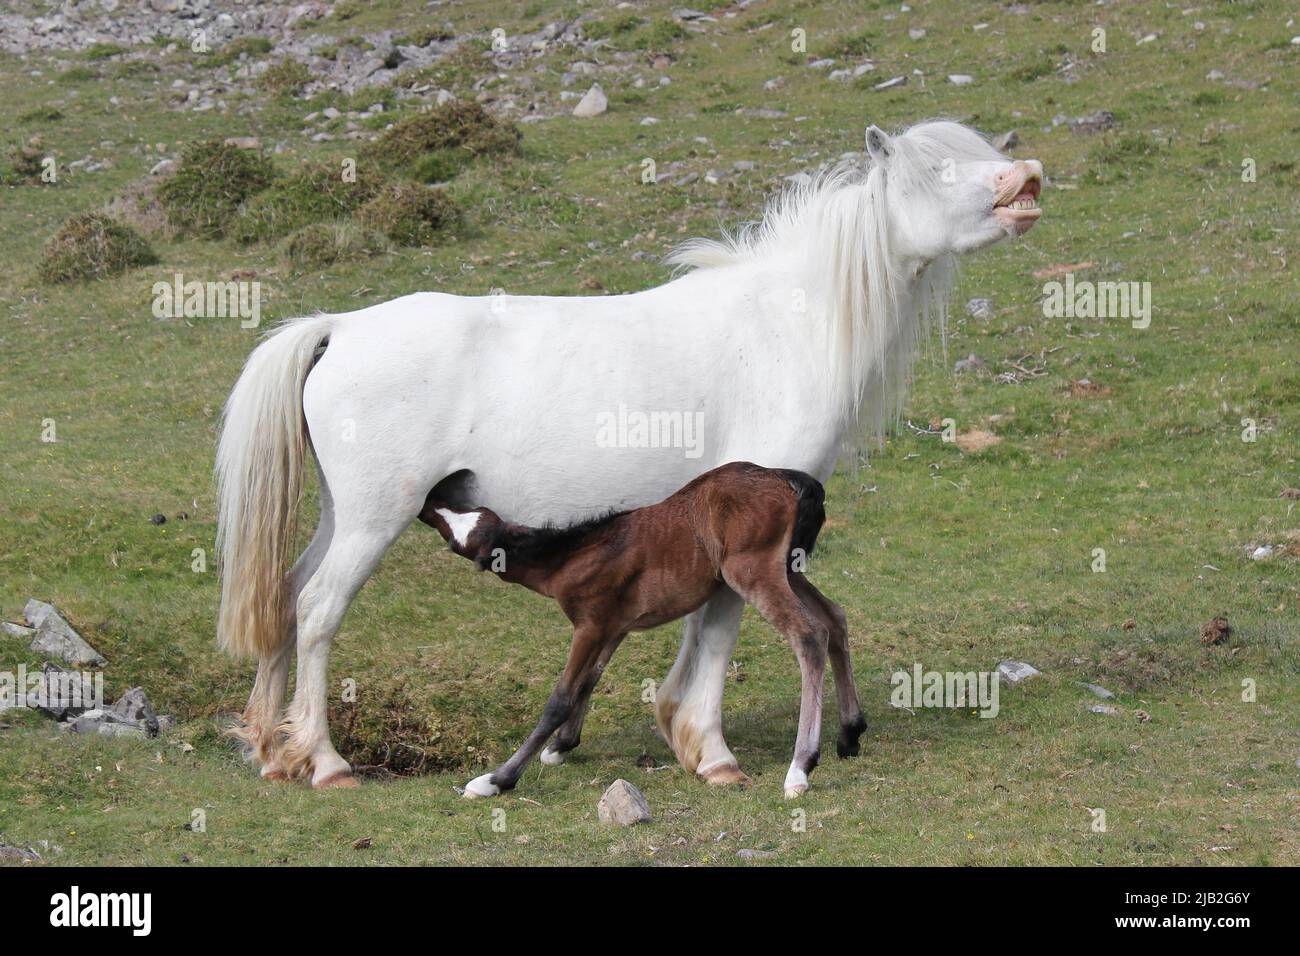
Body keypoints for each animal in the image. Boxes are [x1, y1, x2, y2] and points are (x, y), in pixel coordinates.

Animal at [423, 460, 858, 800]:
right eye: (471, 510)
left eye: (456, 541)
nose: (428, 504)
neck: (572, 559)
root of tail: (784, 478)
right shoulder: (614, 628)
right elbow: (588, 682)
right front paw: (562, 745)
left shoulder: (591, 625)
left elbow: (560, 697)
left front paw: (496, 779)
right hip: (788, 569)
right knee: (834, 618)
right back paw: (851, 732)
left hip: (752, 571)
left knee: (809, 634)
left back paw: (800, 768)